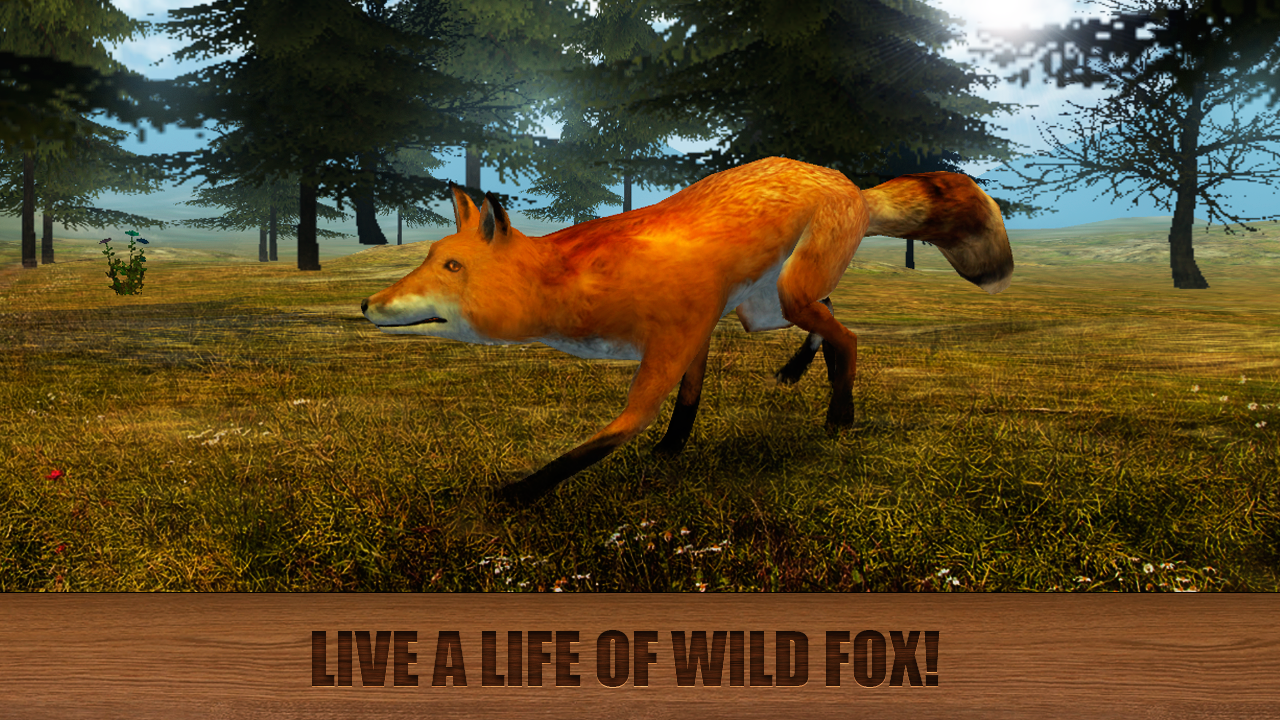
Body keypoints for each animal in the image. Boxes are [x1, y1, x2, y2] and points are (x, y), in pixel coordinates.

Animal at [361, 156, 1014, 505]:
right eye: (429, 258)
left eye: (451, 267)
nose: (367, 302)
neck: (582, 284)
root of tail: (847, 182)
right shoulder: (696, 332)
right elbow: (690, 402)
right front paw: (673, 450)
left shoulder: (672, 343)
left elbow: (608, 436)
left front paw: (518, 494)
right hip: (765, 310)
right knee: (830, 321)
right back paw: (798, 369)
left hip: (785, 297)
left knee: (848, 337)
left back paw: (840, 416)